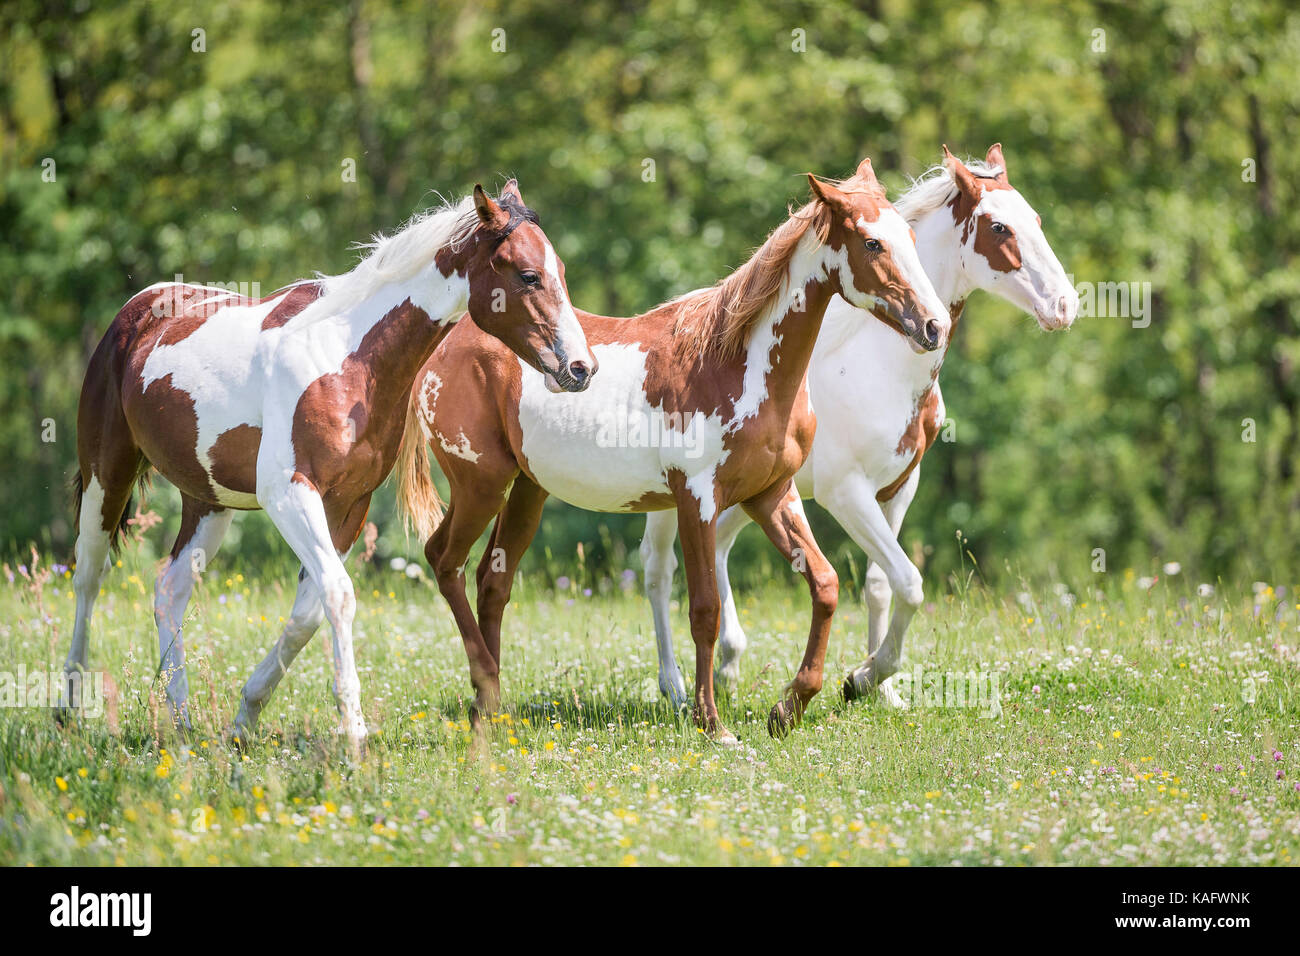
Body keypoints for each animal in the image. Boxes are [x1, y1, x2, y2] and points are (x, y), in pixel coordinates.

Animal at [61, 181, 596, 755]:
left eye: (561, 270)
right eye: (528, 275)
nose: (581, 368)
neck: (346, 359)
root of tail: (136, 310)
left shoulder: (348, 504)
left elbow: (308, 612)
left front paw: (246, 718)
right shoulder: (290, 494)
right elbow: (339, 595)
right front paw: (355, 734)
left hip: (208, 500)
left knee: (169, 590)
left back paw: (180, 723)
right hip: (107, 474)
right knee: (88, 576)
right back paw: (69, 710)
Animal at [399, 159, 951, 742]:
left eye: (911, 236)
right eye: (871, 243)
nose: (934, 325)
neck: (735, 362)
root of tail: (447, 345)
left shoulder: (772, 494)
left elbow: (824, 585)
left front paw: (790, 706)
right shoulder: (698, 498)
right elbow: (705, 609)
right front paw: (712, 723)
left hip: (527, 491)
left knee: (493, 583)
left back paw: (492, 709)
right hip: (480, 486)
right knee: (445, 561)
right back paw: (485, 698)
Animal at [640, 144, 1080, 709]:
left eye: (1037, 220)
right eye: (999, 227)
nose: (1064, 306)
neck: (881, 365)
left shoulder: (897, 488)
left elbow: (880, 584)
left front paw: (881, 689)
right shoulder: (845, 494)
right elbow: (910, 582)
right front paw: (862, 677)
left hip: (745, 494)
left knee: (717, 549)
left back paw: (731, 665)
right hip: (672, 499)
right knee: (658, 569)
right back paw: (674, 687)